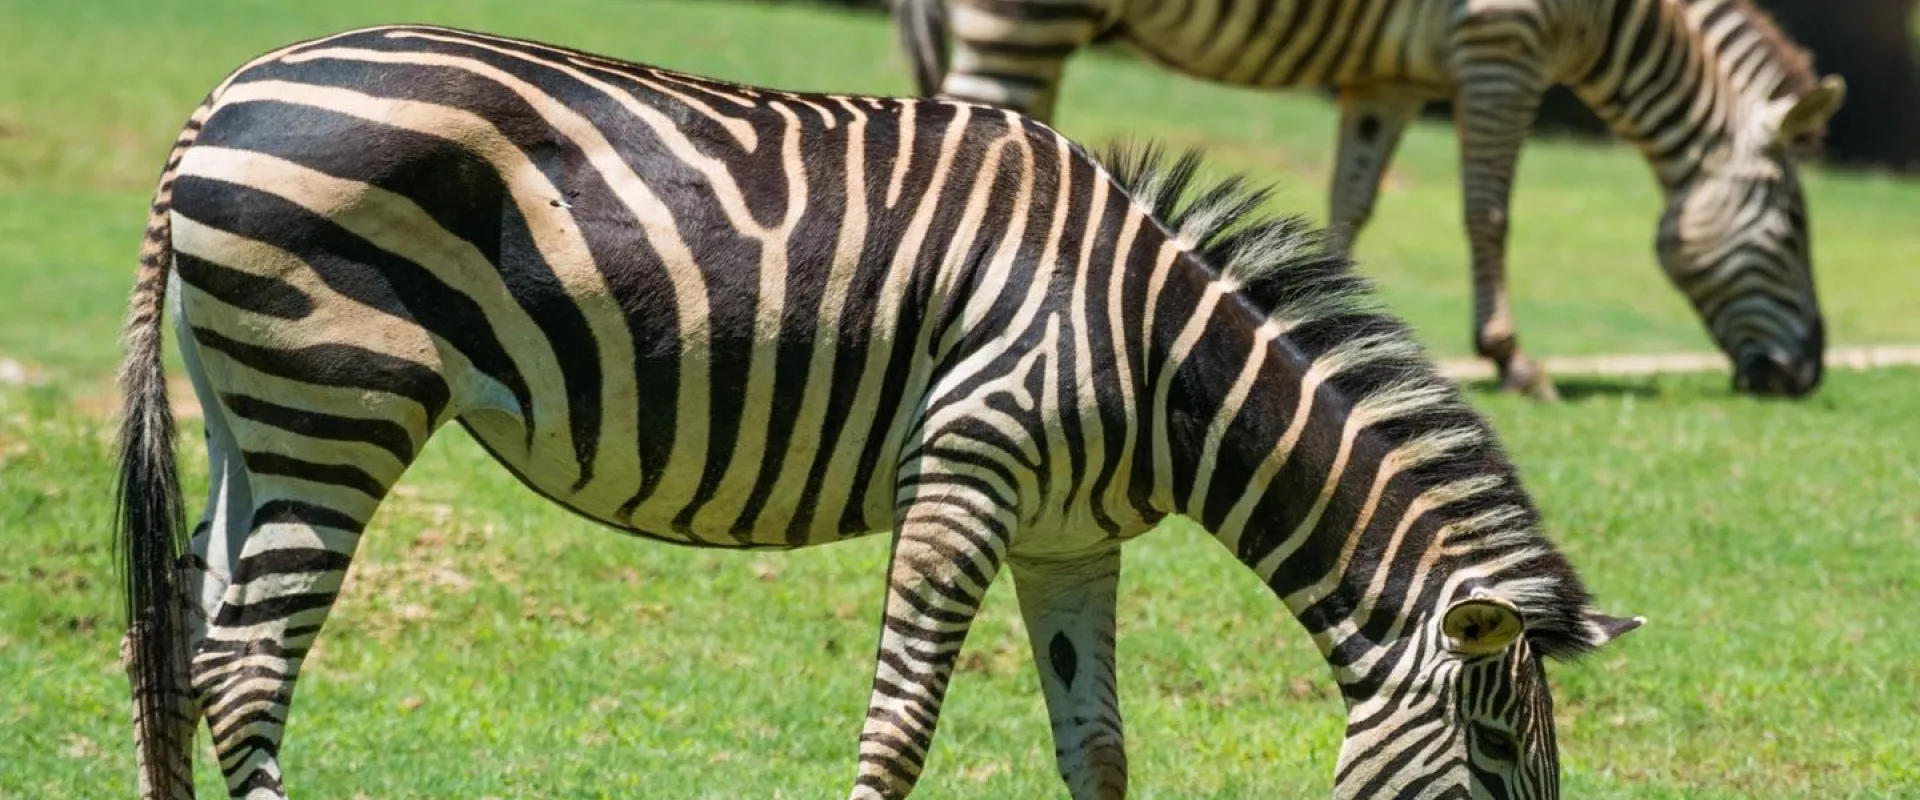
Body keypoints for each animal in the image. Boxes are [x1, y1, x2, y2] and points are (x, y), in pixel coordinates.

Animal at [115, 24, 1641, 800]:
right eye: (1496, 751)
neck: (1158, 357)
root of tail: (219, 97)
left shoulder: (1071, 535)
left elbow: (1096, 744)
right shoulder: (968, 469)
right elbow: (903, 721)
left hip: (254, 416)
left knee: (187, 637)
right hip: (340, 404)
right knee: (246, 663)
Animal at [892, 0, 1847, 400]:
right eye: (1795, 229)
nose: (1804, 377)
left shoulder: (1387, 79)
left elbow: (1349, 203)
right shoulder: (1503, 48)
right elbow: (1489, 210)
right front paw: (1512, 360)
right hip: (1027, 16)